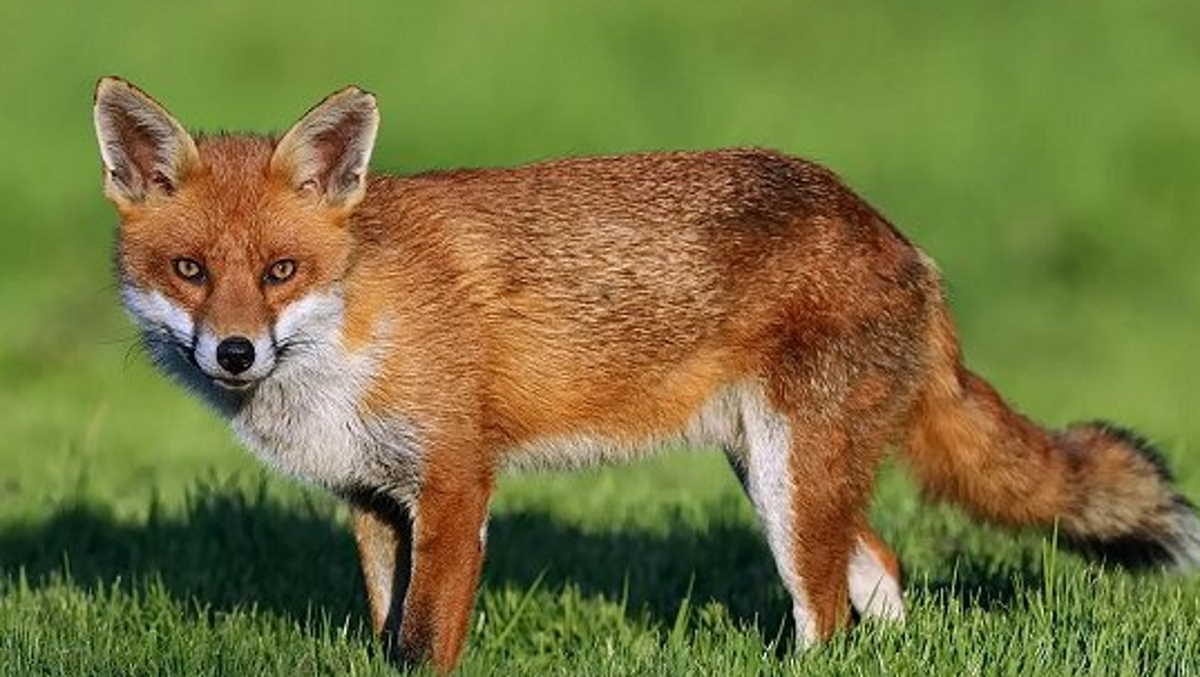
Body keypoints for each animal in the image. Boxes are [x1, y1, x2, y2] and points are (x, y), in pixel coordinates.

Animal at [93, 76, 1198, 672]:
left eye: (280, 271)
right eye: (190, 271)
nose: (235, 351)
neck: (353, 319)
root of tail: (893, 232)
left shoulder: (454, 482)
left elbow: (424, 636)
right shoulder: (372, 497)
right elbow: (385, 627)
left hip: (793, 479)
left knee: (829, 613)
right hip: (776, 474)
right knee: (878, 578)